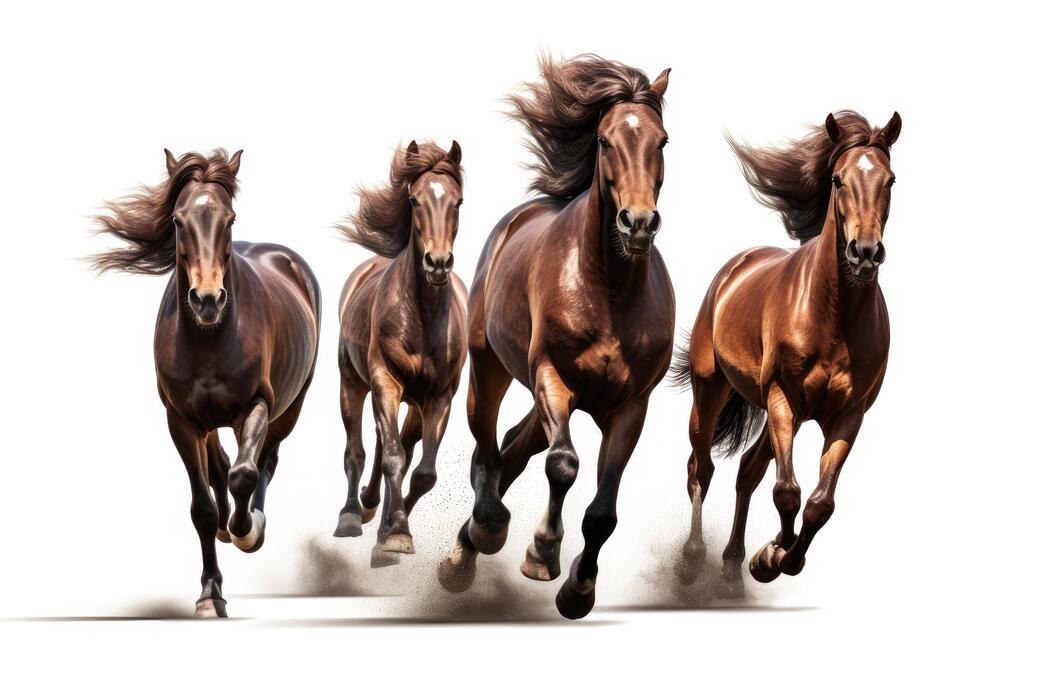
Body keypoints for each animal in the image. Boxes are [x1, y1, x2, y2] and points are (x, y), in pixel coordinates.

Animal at [91, 149, 321, 617]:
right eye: (178, 221)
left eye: (230, 219)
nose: (208, 299)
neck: (209, 340)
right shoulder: (181, 420)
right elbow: (202, 509)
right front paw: (210, 595)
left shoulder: (256, 405)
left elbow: (245, 474)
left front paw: (246, 529)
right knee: (219, 465)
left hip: (291, 408)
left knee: (265, 461)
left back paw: (250, 523)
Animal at [332, 140, 468, 568]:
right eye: (414, 199)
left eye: (458, 201)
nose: (438, 263)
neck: (421, 318)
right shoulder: (384, 382)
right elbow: (390, 457)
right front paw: (395, 531)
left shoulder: (439, 397)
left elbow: (422, 472)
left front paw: (395, 530)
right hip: (353, 383)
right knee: (358, 450)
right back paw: (352, 514)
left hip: (413, 403)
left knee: (396, 449)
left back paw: (376, 512)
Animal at [436, 54, 673, 619]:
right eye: (606, 140)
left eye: (663, 141)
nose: (638, 223)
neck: (609, 289)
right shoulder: (552, 375)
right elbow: (563, 465)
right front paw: (541, 553)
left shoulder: (631, 405)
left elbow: (602, 512)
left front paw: (578, 590)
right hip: (490, 368)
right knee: (488, 446)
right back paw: (479, 536)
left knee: (513, 448)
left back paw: (472, 543)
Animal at [670, 111, 901, 588]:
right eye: (837, 180)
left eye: (890, 180)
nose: (865, 253)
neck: (834, 318)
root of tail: (733, 269)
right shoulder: (782, 398)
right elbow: (787, 492)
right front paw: (773, 555)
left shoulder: (849, 415)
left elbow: (817, 503)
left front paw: (774, 556)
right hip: (712, 389)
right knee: (701, 468)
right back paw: (693, 558)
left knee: (747, 471)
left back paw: (732, 564)